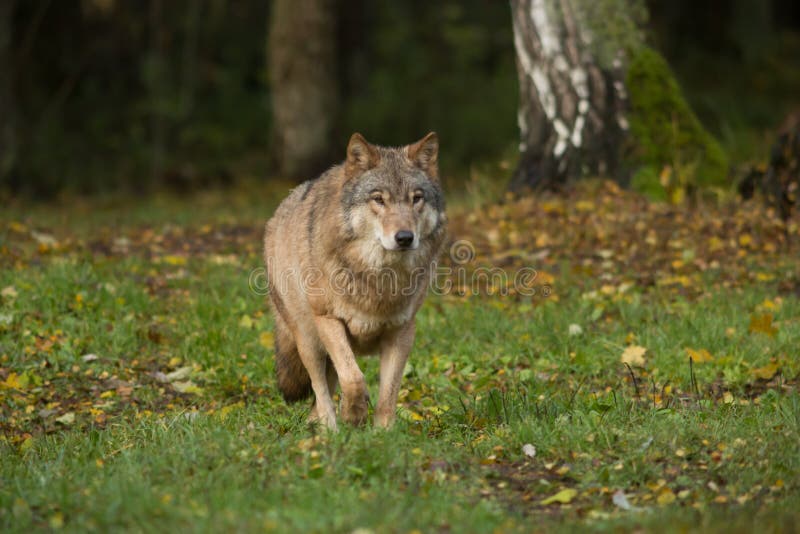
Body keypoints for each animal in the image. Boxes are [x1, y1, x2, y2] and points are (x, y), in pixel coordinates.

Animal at [263, 132, 446, 429]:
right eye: (379, 199)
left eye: (416, 199)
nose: (405, 238)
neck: (380, 280)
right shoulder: (329, 320)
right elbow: (354, 378)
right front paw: (353, 415)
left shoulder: (403, 331)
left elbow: (388, 393)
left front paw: (384, 433)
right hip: (309, 341)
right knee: (320, 387)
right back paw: (329, 428)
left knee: (327, 385)